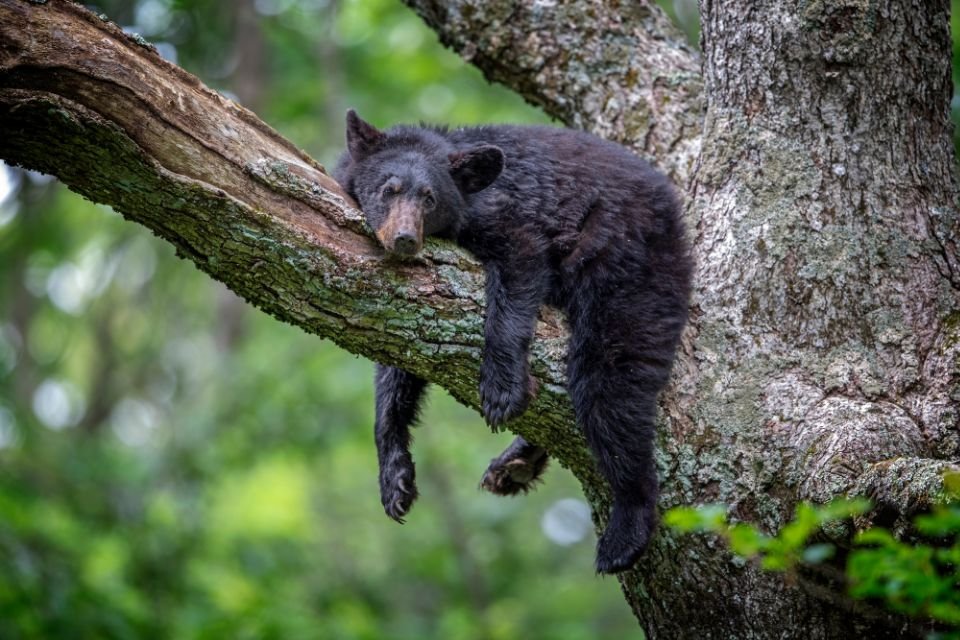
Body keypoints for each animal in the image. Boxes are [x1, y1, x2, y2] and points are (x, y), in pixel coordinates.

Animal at [333, 110, 692, 574]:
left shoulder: (503, 215)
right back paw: (516, 463)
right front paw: (394, 477)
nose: (405, 239)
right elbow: (399, 360)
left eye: (430, 199)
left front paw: (502, 389)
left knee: (610, 385)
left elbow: (521, 266)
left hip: (628, 260)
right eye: (387, 188)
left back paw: (624, 532)